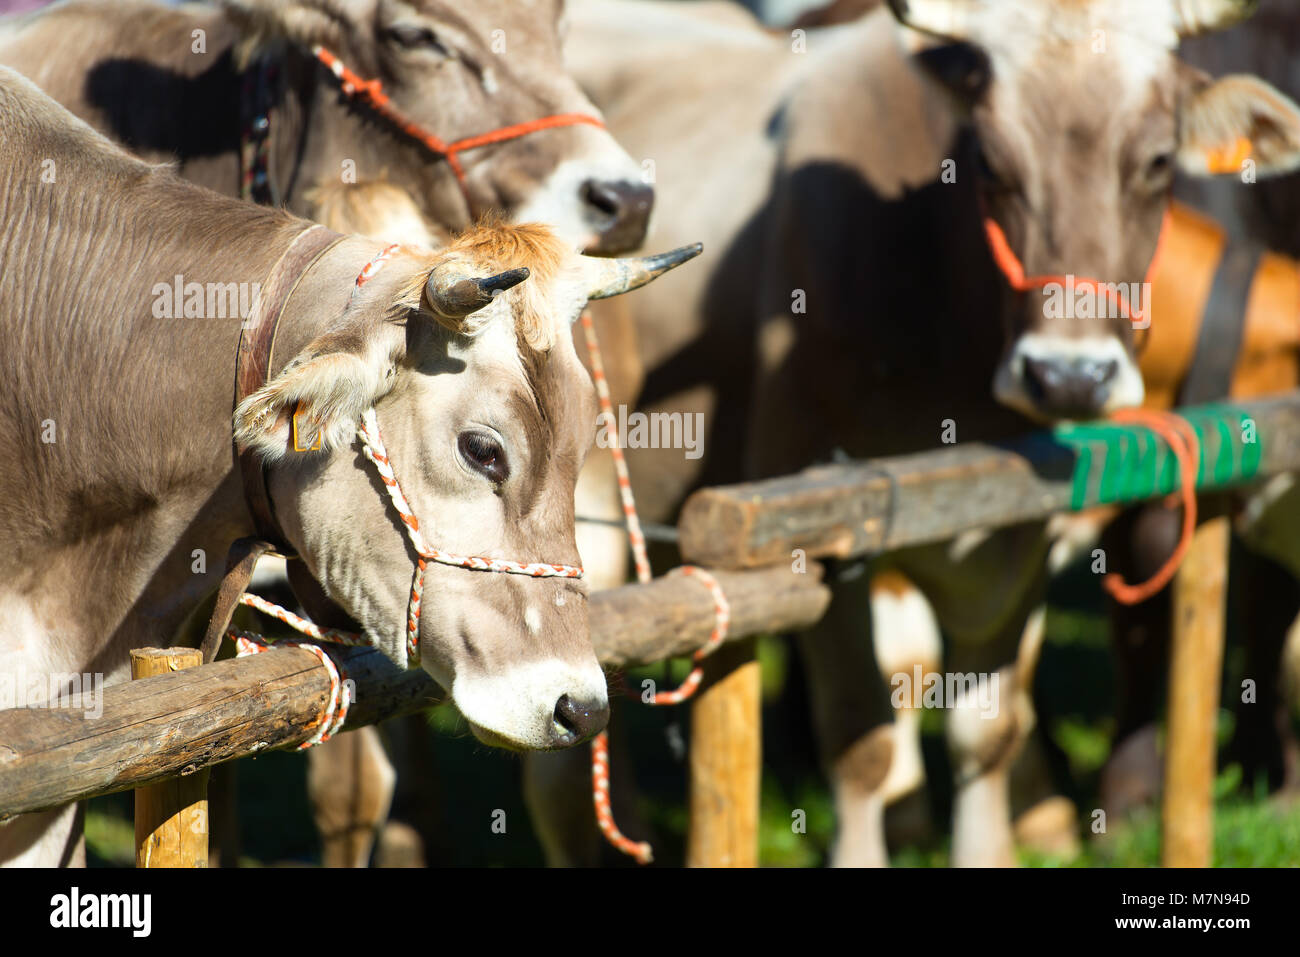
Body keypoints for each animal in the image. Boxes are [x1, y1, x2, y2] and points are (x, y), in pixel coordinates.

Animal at [547, 0, 1300, 866]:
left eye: (1156, 162)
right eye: (991, 164)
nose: (1068, 377)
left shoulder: (1015, 537)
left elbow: (989, 732)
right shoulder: (817, 538)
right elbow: (862, 741)